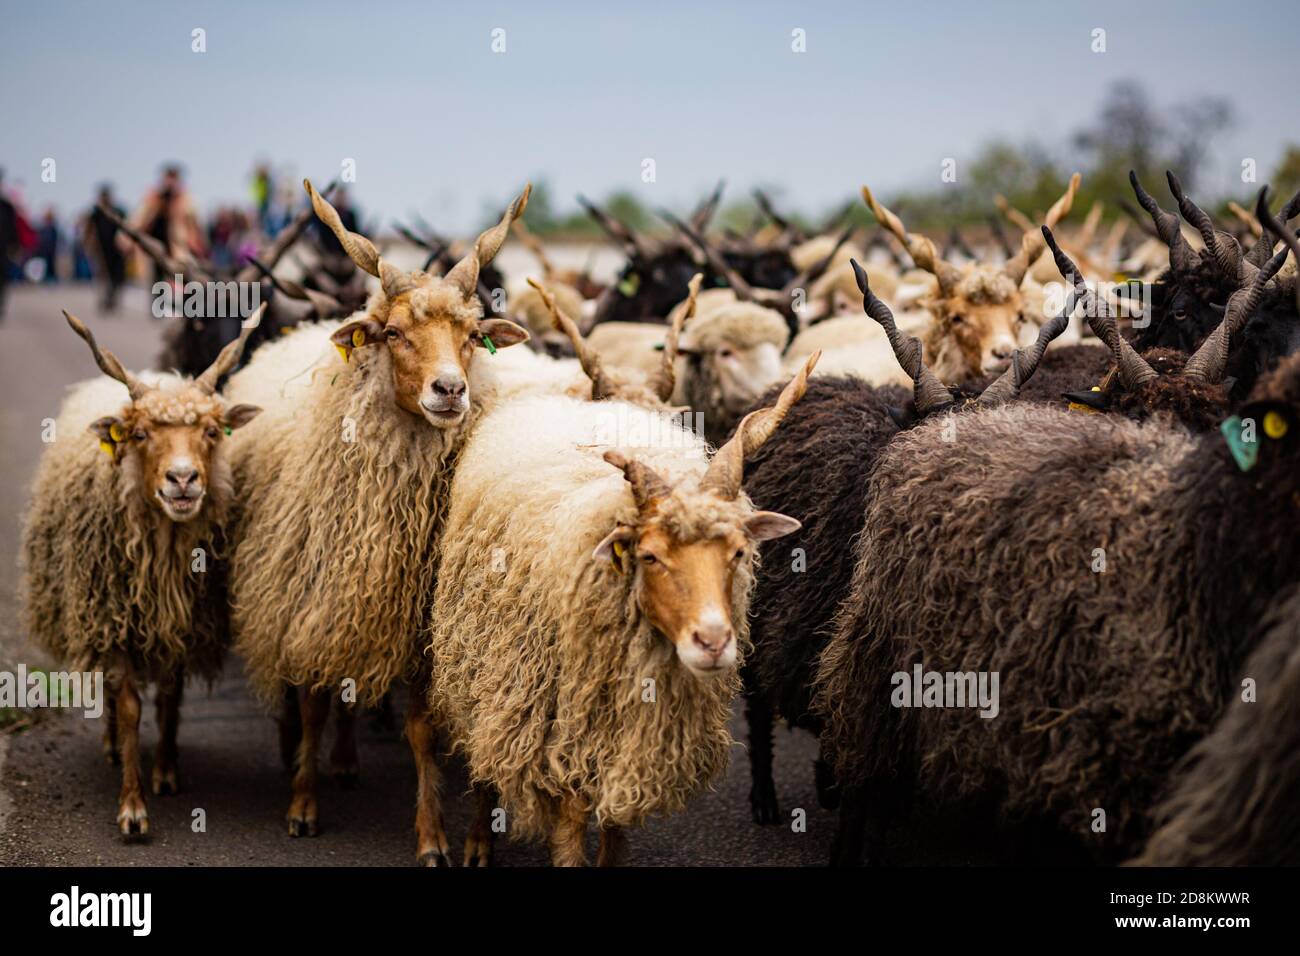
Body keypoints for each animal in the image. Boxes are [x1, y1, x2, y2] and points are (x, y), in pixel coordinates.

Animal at [18, 306, 263, 837]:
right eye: (140, 434)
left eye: (210, 432)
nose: (182, 479)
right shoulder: (114, 624)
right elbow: (130, 707)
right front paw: (132, 809)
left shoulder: (181, 625)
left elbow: (170, 696)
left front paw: (166, 772)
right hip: (94, 615)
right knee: (111, 696)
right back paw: (111, 745)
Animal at [226, 175, 530, 848]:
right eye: (392, 333)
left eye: (472, 338)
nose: (450, 390)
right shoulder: (312, 597)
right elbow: (313, 702)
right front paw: (302, 805)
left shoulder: (417, 625)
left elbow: (420, 729)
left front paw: (432, 835)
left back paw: (345, 761)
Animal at [423, 356, 811, 863]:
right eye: (649, 556)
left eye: (740, 552)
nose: (712, 642)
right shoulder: (565, 728)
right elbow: (570, 825)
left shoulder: (630, 739)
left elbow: (615, 828)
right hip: (487, 665)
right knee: (482, 744)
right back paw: (478, 840)